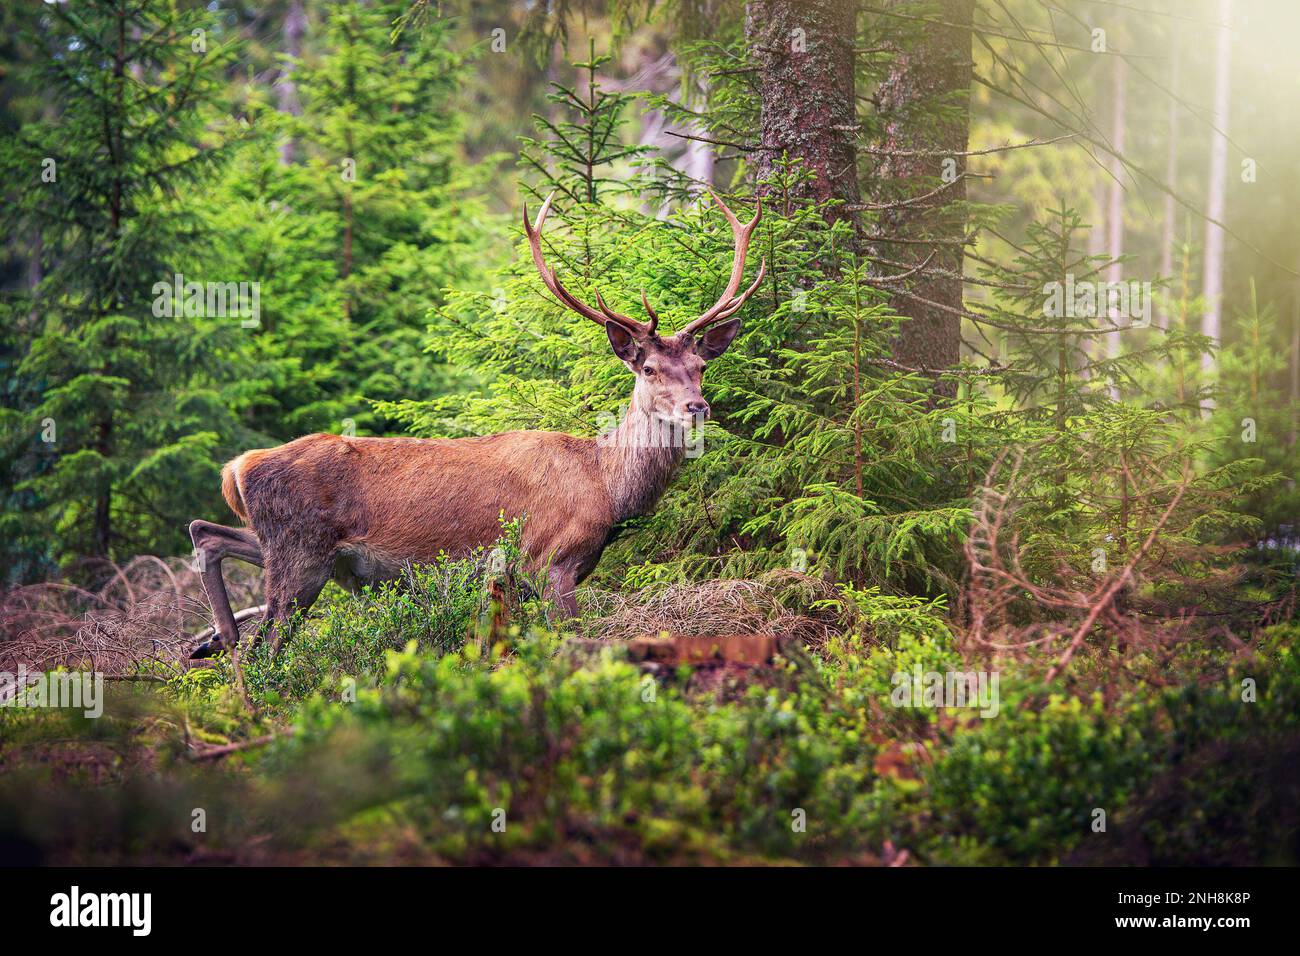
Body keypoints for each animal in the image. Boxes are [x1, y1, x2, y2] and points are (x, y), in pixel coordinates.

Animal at [187, 189, 765, 659]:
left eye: (701, 366)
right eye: (649, 369)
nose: (696, 407)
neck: (606, 486)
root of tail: (237, 469)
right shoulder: (551, 562)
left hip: (292, 548)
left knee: (207, 533)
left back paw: (215, 639)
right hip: (300, 553)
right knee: (267, 646)